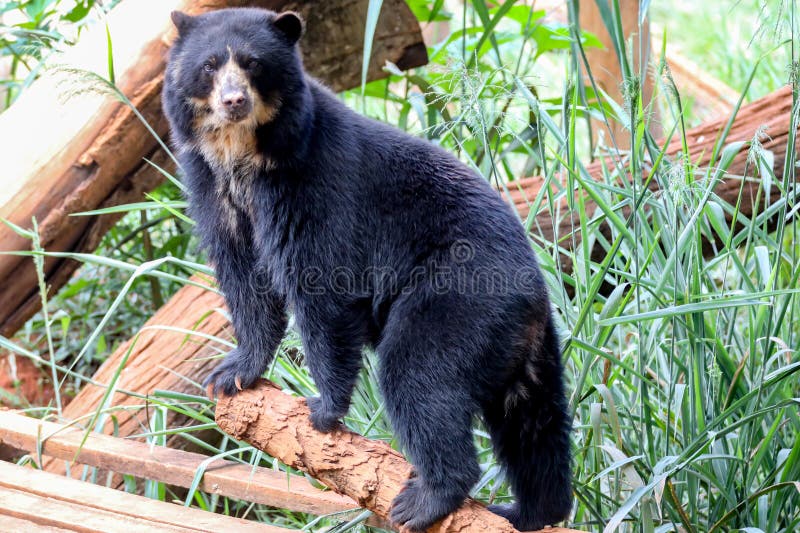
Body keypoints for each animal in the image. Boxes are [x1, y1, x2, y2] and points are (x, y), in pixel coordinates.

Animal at [162, 8, 572, 532]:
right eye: (210, 65)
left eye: (253, 63)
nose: (234, 101)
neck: (244, 154)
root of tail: (534, 293)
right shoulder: (210, 184)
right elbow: (242, 274)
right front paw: (232, 373)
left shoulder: (313, 183)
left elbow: (322, 287)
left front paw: (323, 411)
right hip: (522, 348)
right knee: (533, 422)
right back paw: (532, 511)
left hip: (460, 294)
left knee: (418, 375)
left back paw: (427, 499)